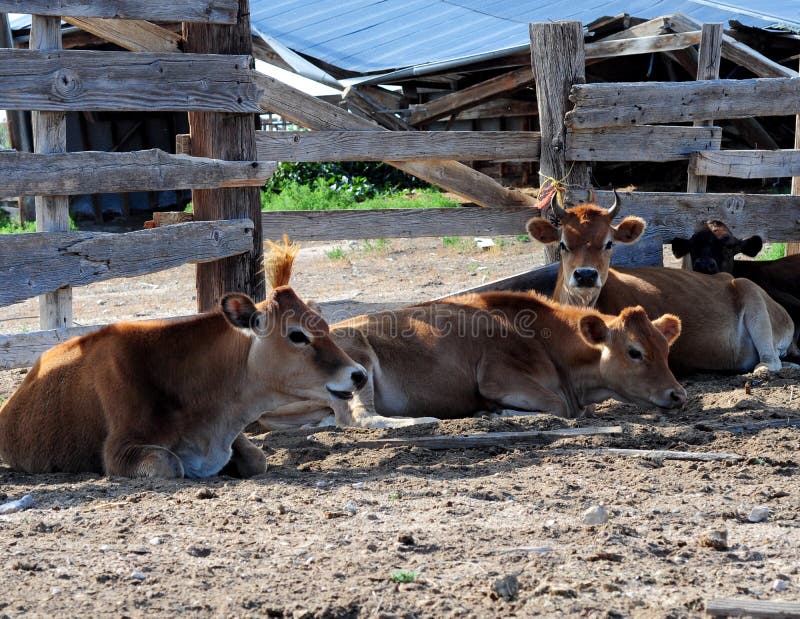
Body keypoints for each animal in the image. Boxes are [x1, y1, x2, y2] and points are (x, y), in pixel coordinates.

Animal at [0, 287, 367, 478]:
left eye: (325, 326)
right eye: (297, 335)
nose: (358, 374)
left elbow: (257, 459)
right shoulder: (118, 451)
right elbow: (170, 464)